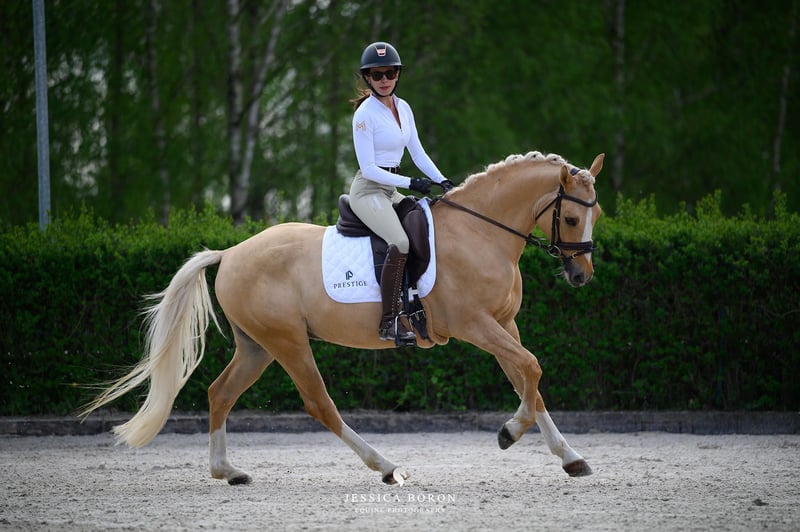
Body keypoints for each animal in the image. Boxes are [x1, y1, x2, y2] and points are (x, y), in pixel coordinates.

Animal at [80, 150, 604, 486]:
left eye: (593, 215)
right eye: (571, 219)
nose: (581, 275)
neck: (481, 233)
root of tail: (230, 253)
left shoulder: (503, 325)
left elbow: (527, 379)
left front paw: (569, 457)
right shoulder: (476, 325)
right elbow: (532, 368)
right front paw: (509, 434)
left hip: (257, 346)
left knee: (220, 393)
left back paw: (227, 472)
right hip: (288, 342)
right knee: (320, 405)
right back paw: (386, 467)